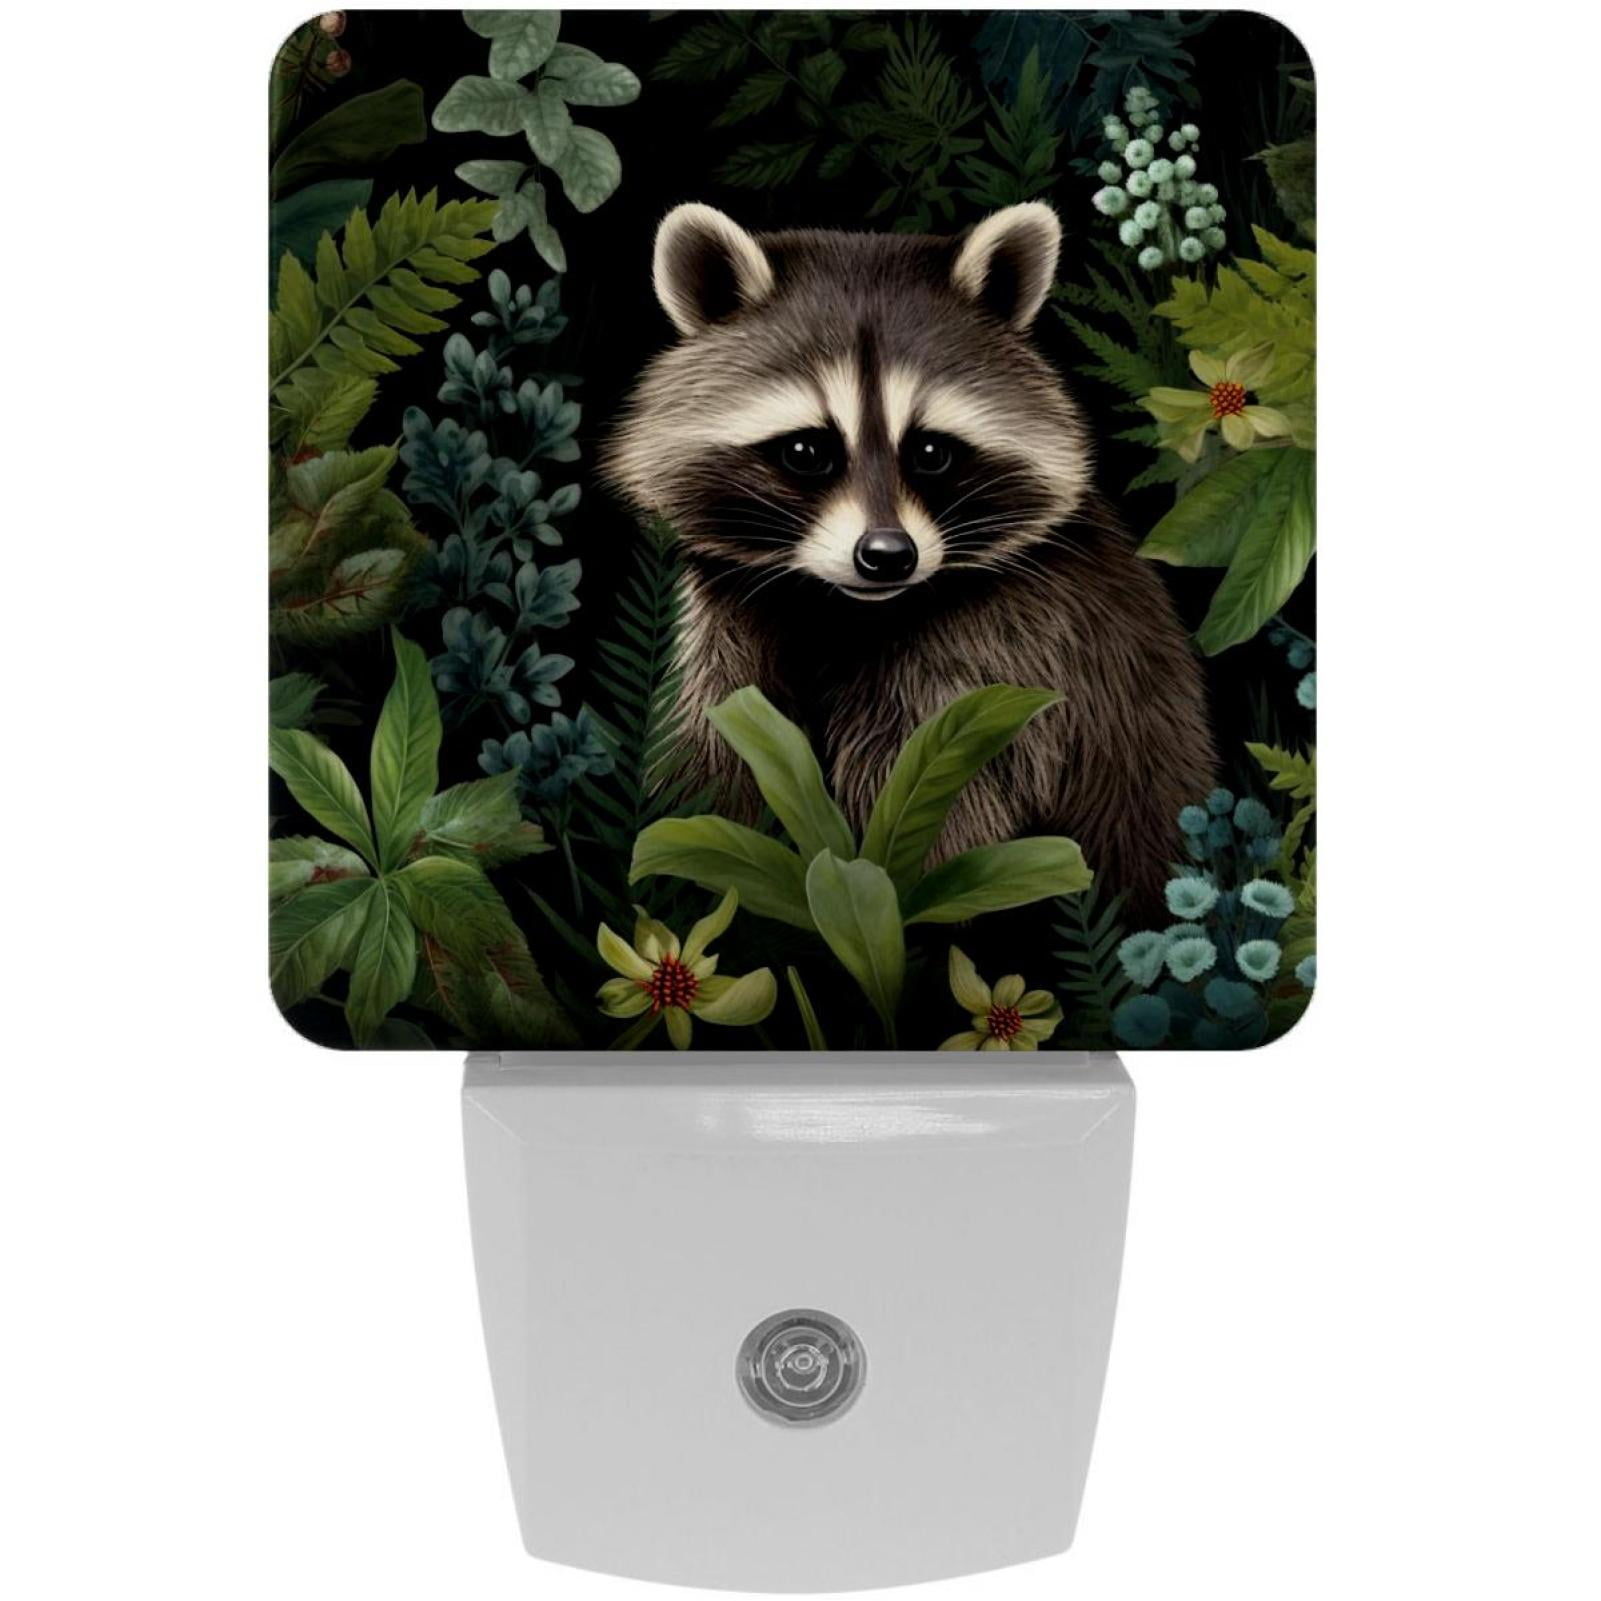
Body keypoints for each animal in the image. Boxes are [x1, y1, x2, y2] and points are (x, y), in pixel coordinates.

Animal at [605, 201, 1216, 907]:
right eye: (806, 451)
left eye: (930, 452)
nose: (887, 555)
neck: (837, 609)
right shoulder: (727, 621)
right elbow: (715, 749)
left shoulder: (1008, 648)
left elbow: (938, 801)